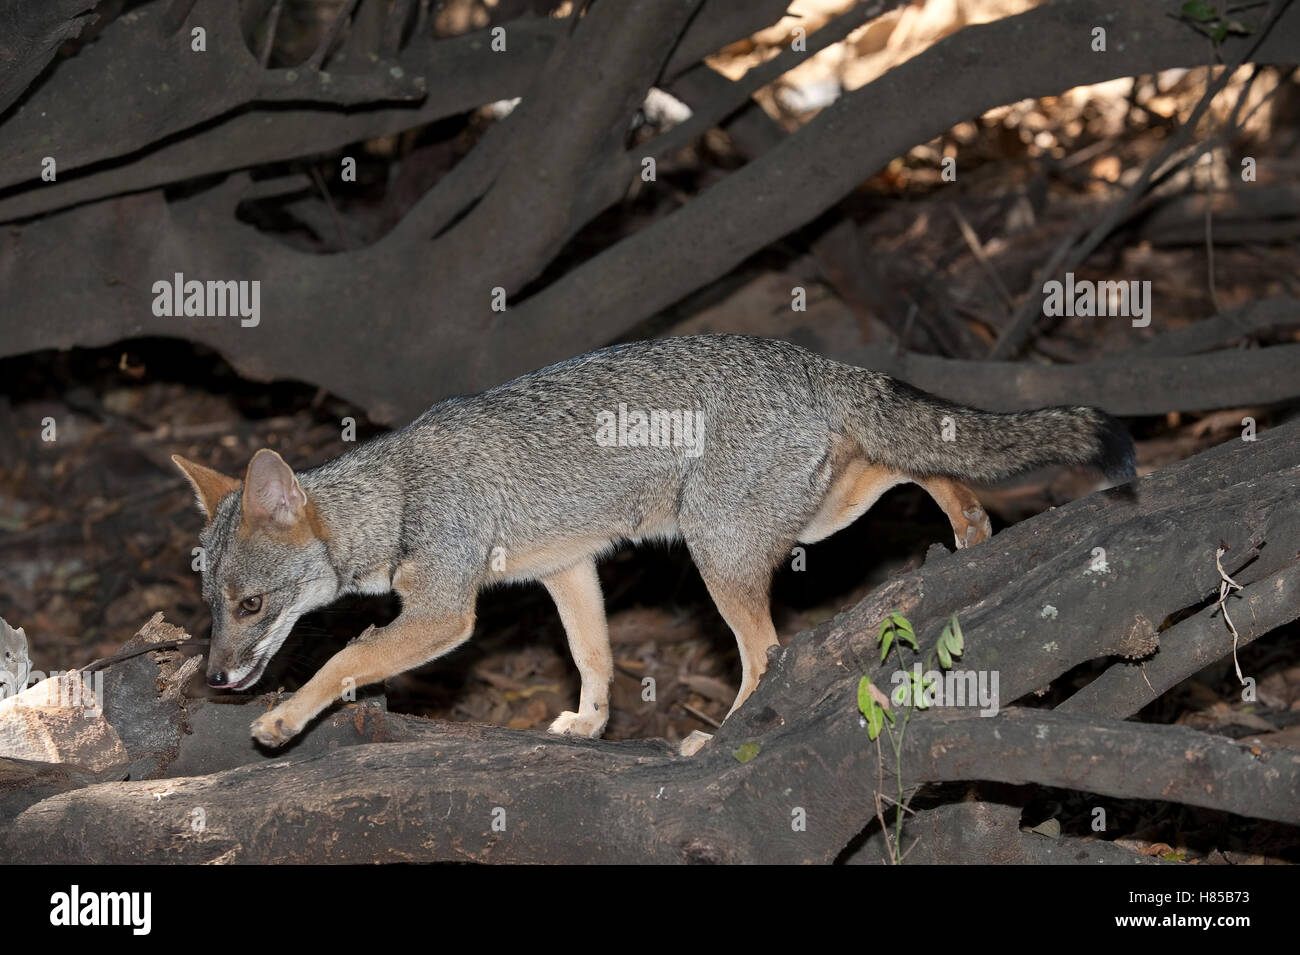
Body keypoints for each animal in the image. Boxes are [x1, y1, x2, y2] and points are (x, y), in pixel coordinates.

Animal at [171, 334, 1135, 752]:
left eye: (251, 604)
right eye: (210, 605)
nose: (215, 676)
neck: (400, 493)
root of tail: (812, 358)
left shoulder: (446, 613)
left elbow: (344, 658)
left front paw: (283, 717)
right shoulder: (566, 568)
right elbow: (592, 653)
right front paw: (592, 722)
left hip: (720, 553)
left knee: (768, 652)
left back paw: (726, 733)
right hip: (808, 517)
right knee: (917, 461)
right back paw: (969, 525)